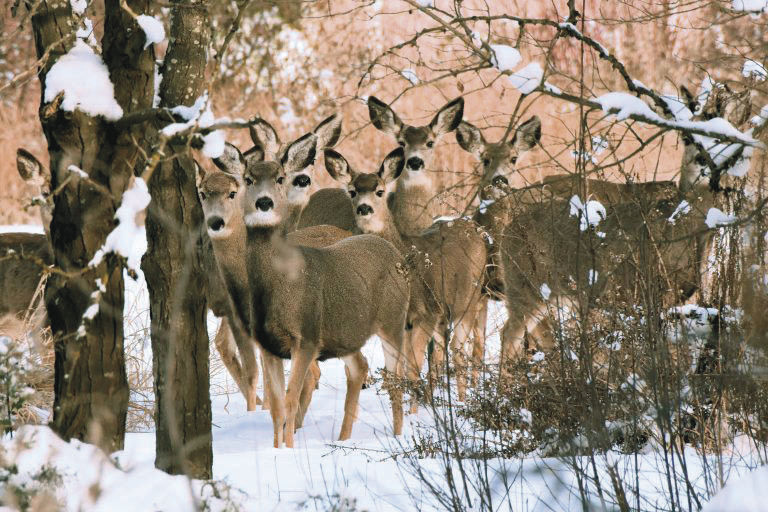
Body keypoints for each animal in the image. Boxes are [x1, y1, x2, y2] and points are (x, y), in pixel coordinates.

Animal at [233, 132, 410, 448]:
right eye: (248, 178)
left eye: (280, 177)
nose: (264, 203)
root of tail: (392, 250)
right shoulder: (268, 344)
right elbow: (276, 406)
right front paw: (277, 449)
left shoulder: (306, 338)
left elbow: (291, 400)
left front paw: (289, 449)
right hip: (345, 333)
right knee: (359, 367)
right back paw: (343, 438)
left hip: (393, 321)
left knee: (395, 377)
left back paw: (398, 435)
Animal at [323, 147, 487, 409]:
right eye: (352, 191)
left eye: (380, 191)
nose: (364, 208)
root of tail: (476, 230)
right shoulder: (403, 321)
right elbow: (399, 372)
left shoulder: (426, 314)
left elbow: (411, 369)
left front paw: (413, 413)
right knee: (442, 350)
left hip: (467, 301)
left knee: (459, 349)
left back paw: (461, 401)